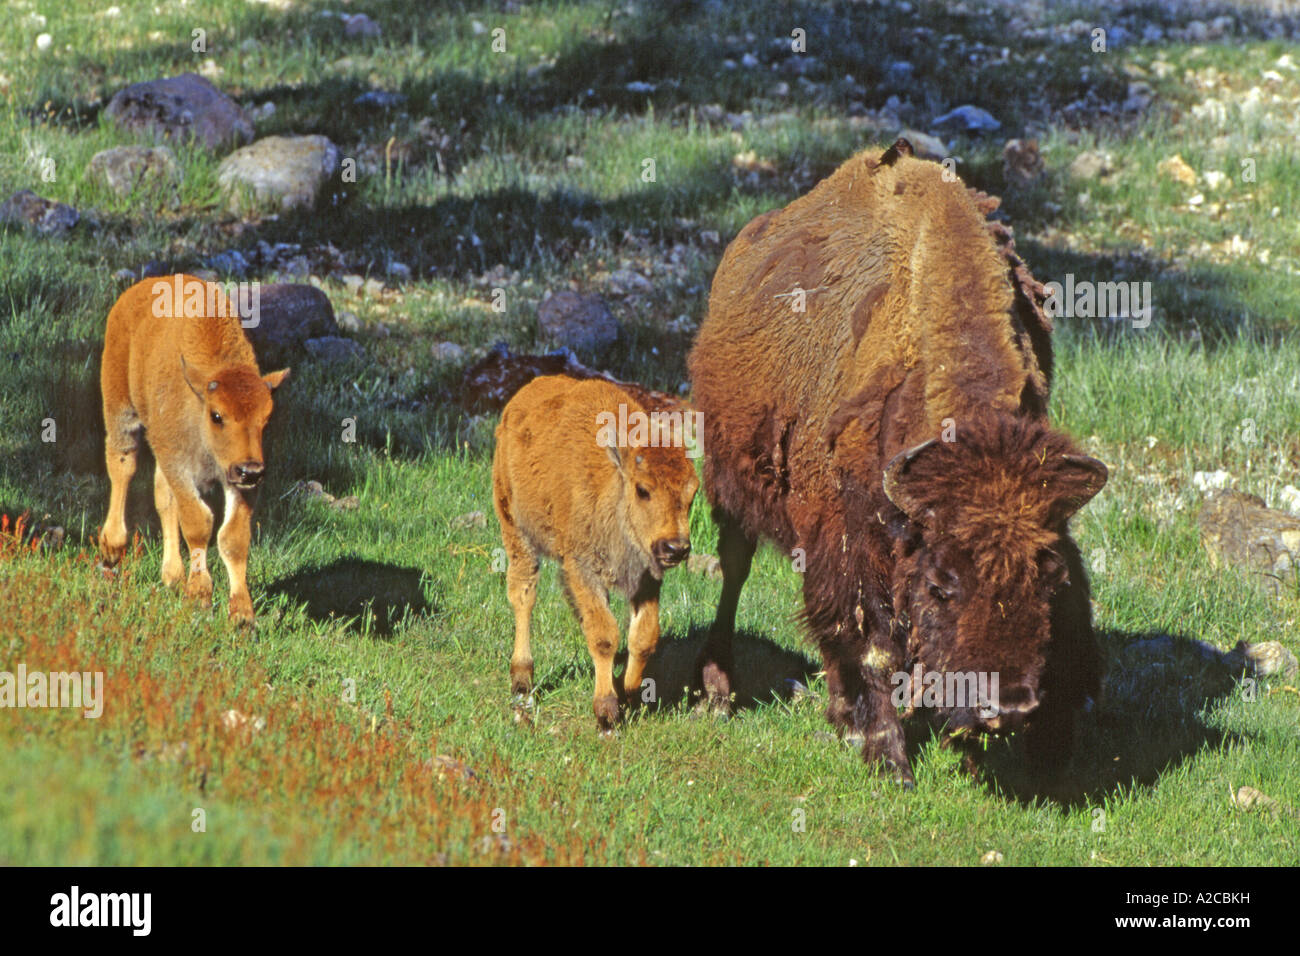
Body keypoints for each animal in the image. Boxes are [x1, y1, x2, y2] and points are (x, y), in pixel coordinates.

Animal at [99, 274, 290, 625]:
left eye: (266, 419)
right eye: (217, 415)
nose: (250, 471)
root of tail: (137, 291)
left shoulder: (239, 483)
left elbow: (232, 537)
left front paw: (243, 614)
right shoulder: (180, 466)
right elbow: (199, 523)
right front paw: (200, 595)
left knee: (163, 498)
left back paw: (172, 576)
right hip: (120, 407)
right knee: (122, 464)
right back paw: (112, 547)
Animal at [492, 374, 700, 730]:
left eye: (693, 493)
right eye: (643, 490)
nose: (675, 548)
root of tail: (520, 399)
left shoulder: (647, 579)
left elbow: (644, 636)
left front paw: (628, 692)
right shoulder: (583, 569)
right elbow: (604, 635)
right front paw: (606, 710)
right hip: (516, 530)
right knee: (523, 595)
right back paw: (521, 680)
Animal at [688, 141, 1108, 787]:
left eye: (1051, 576)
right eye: (941, 586)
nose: (1007, 707)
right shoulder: (849, 541)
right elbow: (871, 640)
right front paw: (889, 759)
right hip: (732, 486)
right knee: (735, 571)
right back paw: (718, 690)